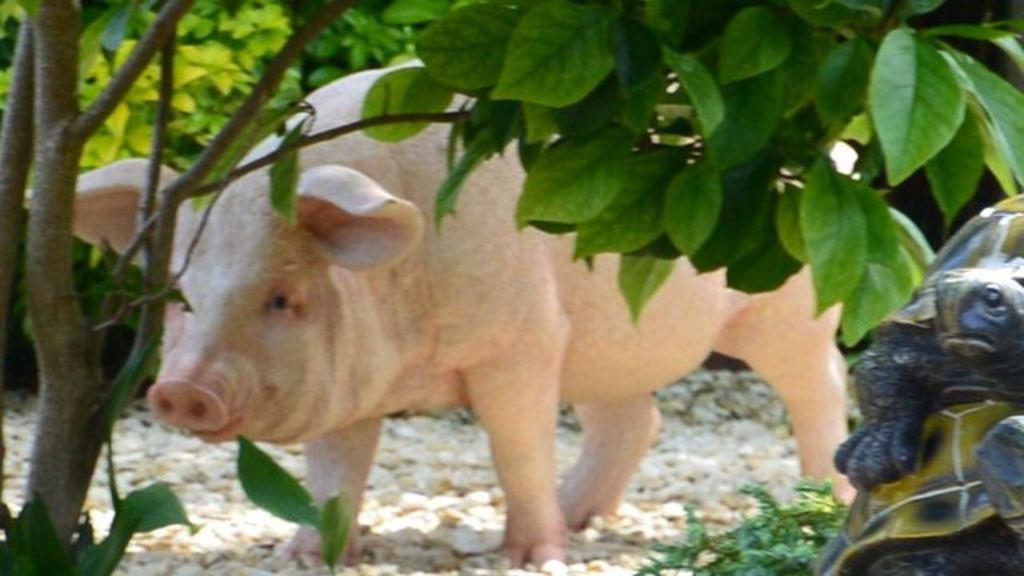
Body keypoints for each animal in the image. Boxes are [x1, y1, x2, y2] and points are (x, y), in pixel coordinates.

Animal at [71, 66, 850, 567]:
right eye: (181, 295)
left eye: (282, 297)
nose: (181, 390)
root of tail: (831, 148)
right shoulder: (351, 382)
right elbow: (335, 469)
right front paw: (306, 555)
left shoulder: (522, 340)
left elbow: (517, 447)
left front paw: (531, 558)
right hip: (601, 345)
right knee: (636, 418)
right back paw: (581, 518)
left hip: (789, 308)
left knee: (822, 388)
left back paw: (825, 502)